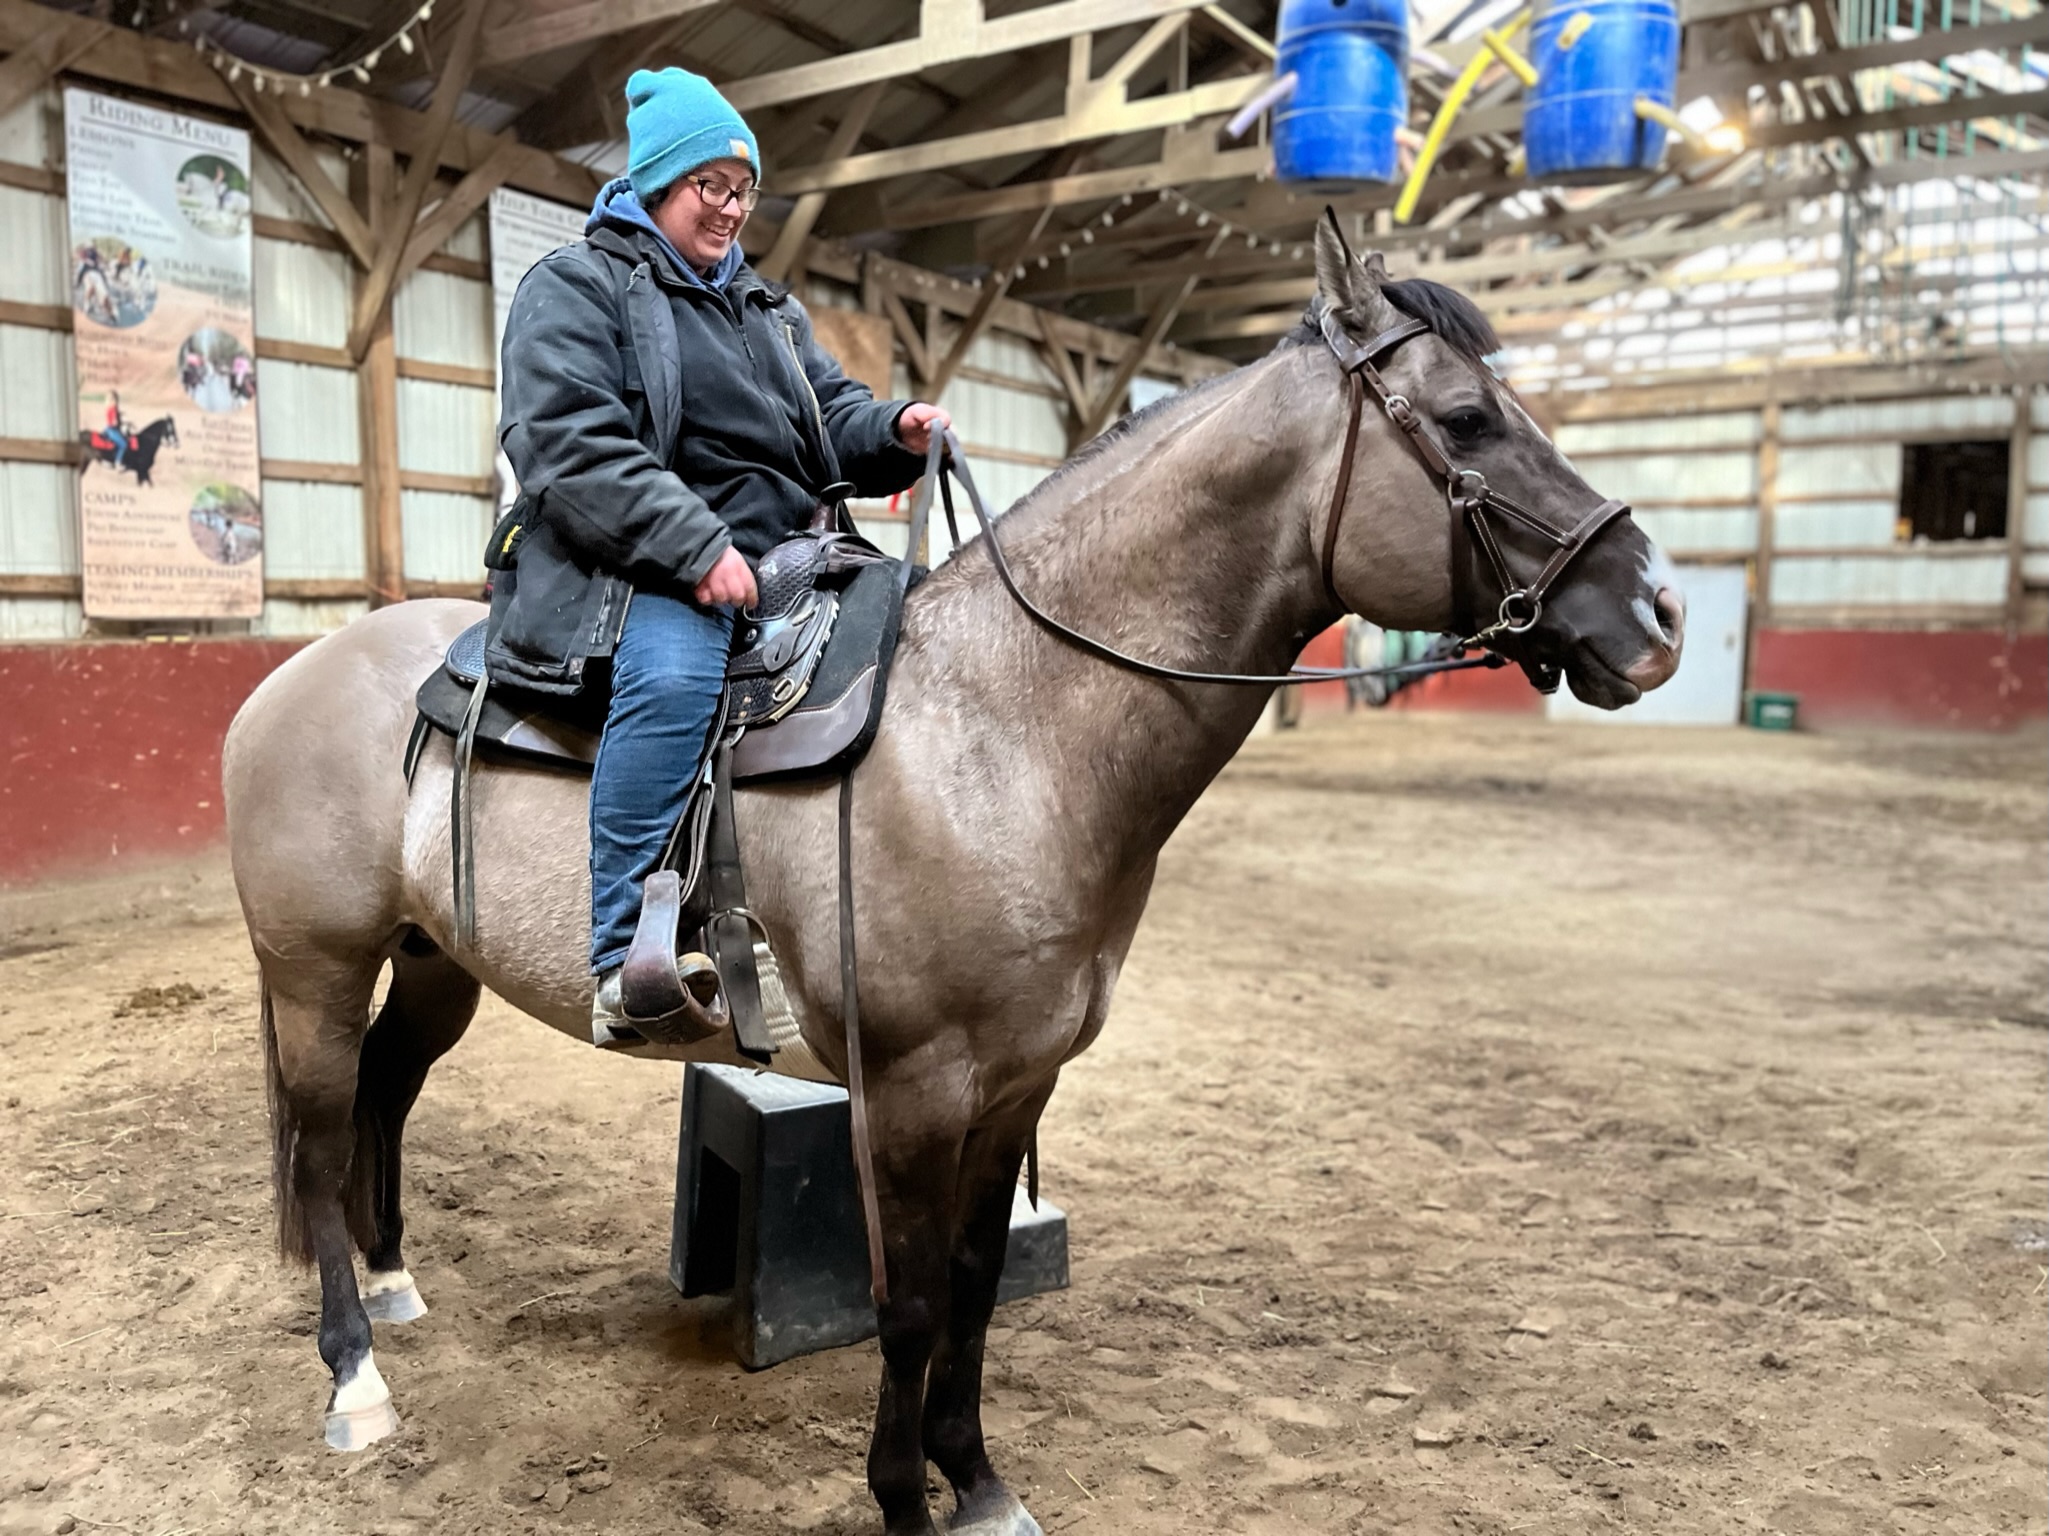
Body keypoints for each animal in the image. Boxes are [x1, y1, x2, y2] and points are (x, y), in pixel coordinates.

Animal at [222, 223, 1683, 1536]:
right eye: (1468, 419)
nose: (1658, 612)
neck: (1000, 727)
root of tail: (283, 680)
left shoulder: (1021, 1082)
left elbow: (977, 1286)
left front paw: (975, 1482)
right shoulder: (912, 1091)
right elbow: (911, 1301)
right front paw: (902, 1501)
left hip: (434, 964)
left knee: (388, 1095)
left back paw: (399, 1286)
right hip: (313, 970)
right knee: (324, 1137)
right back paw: (355, 1376)